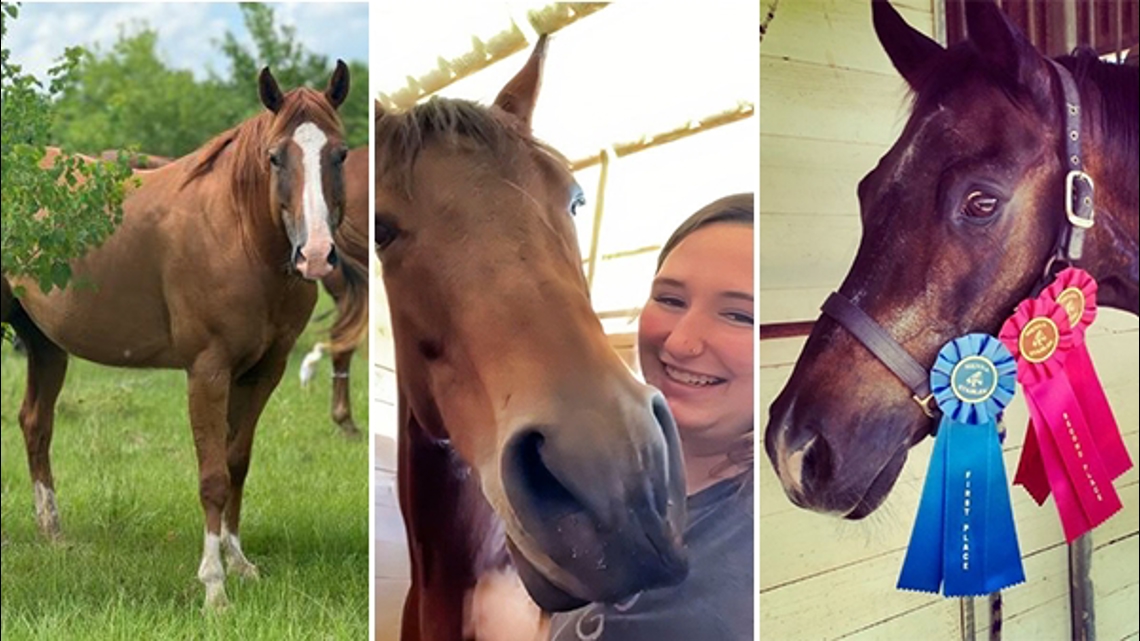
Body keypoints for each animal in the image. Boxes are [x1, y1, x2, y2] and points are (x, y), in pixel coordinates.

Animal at [1, 62, 361, 610]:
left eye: (339, 153)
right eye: (275, 156)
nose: (316, 255)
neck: (237, 235)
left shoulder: (263, 372)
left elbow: (236, 463)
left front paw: (240, 563)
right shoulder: (208, 371)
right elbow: (212, 476)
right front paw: (214, 586)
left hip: (45, 344)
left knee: (36, 423)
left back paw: (53, 531)